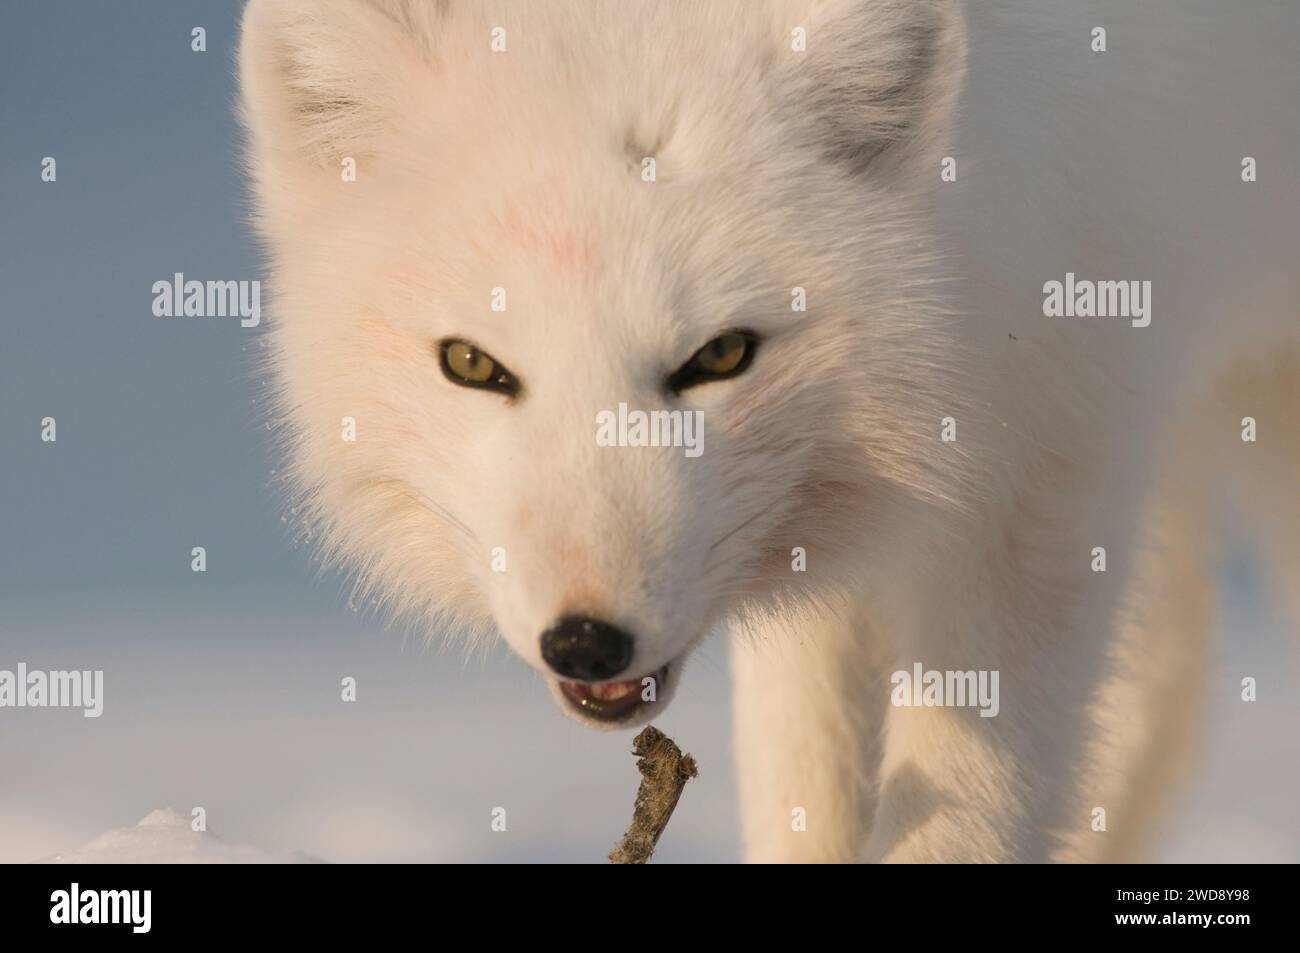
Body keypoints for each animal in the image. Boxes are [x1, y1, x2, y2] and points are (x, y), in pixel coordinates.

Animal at [237, 0, 1299, 862]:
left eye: (720, 355)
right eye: (471, 363)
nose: (585, 642)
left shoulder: (1057, 439)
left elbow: (972, 793)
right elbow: (808, 779)